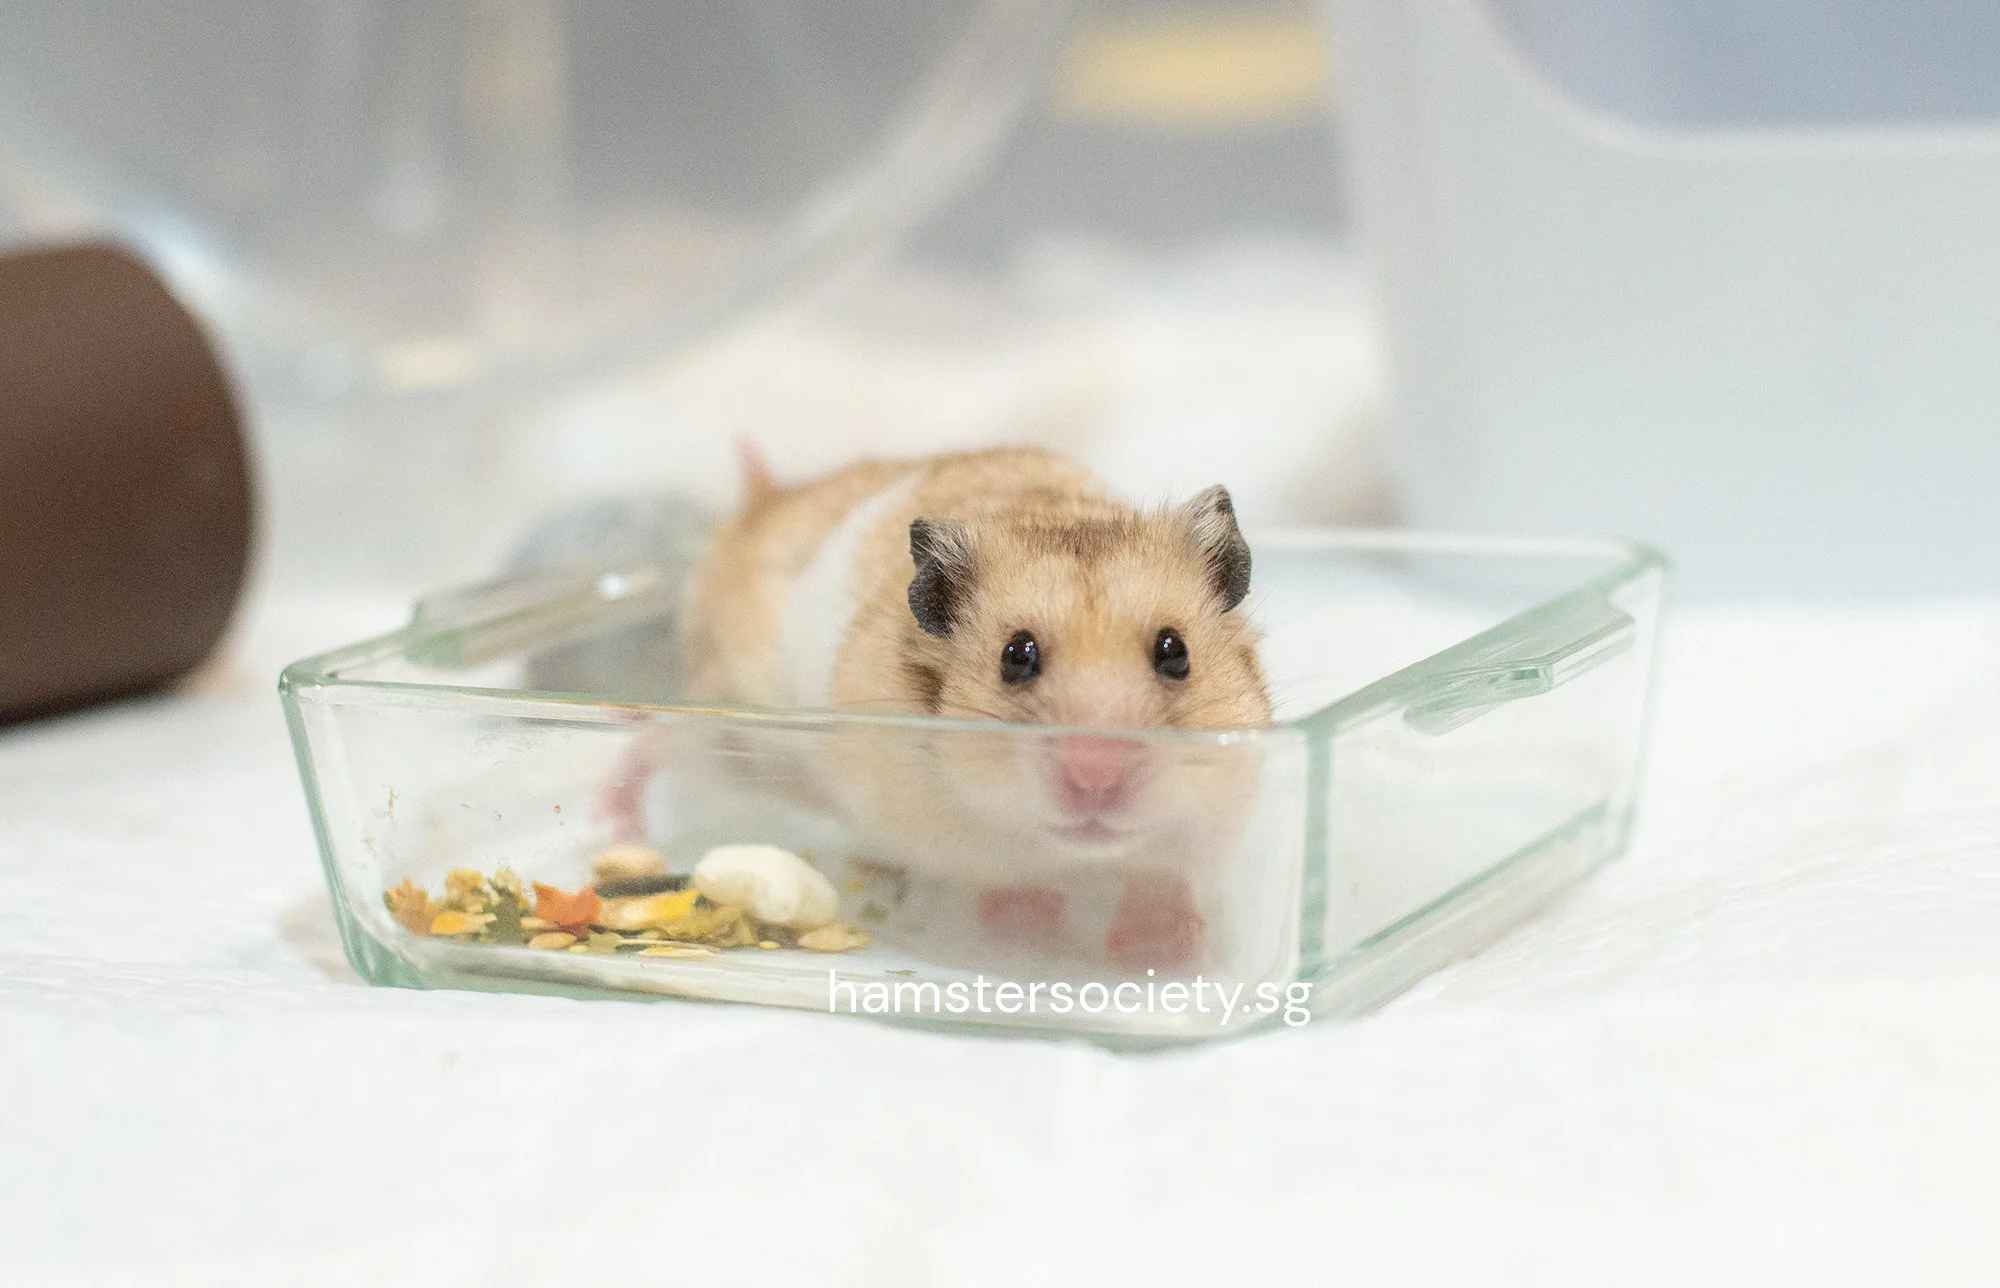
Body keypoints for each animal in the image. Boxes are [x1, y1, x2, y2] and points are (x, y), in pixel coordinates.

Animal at [622, 446, 1272, 969]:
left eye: (1174, 651)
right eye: (1016, 656)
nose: (1096, 781)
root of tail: (763, 499)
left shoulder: (1203, 822)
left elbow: (1160, 879)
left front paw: (1158, 953)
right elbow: (1003, 882)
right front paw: (1031, 934)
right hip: (729, 725)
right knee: (649, 745)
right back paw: (624, 819)